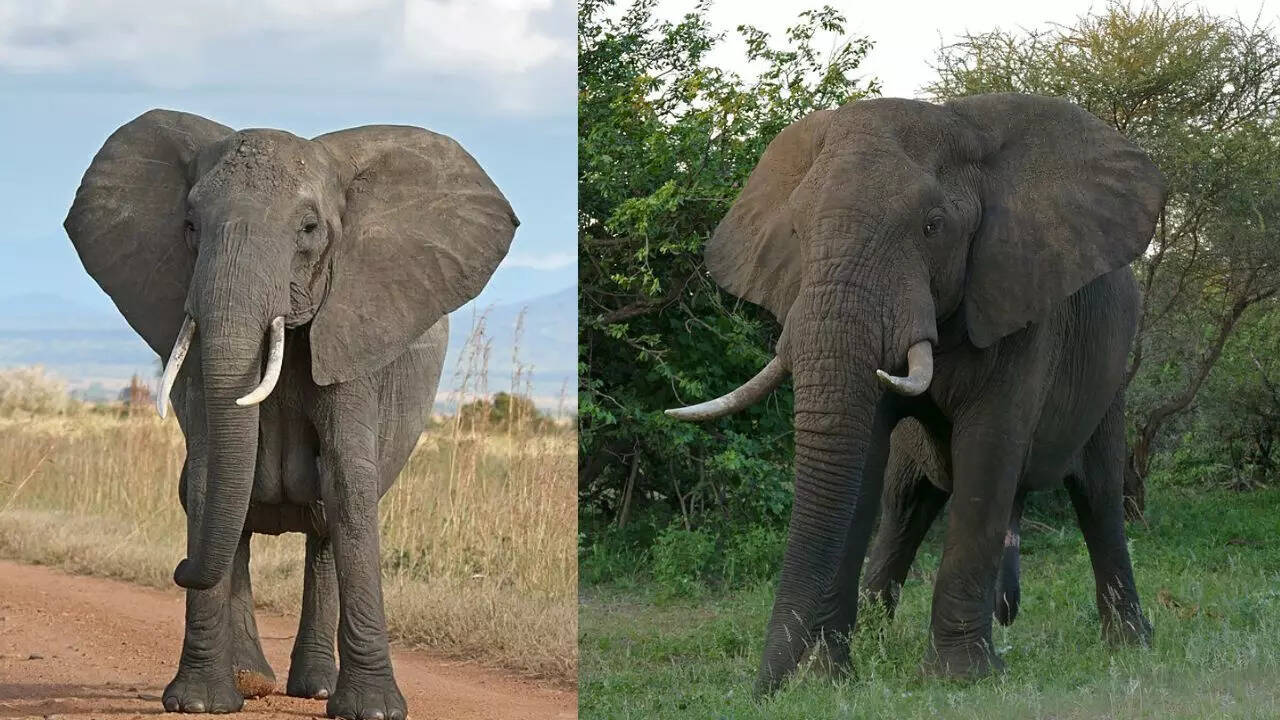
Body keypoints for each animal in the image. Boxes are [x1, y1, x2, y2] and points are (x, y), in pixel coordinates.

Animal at [64, 110, 518, 718]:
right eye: (190, 225)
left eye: (308, 228)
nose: (178, 570)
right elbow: (206, 478)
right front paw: (199, 703)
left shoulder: (355, 328)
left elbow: (348, 481)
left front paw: (373, 711)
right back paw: (251, 681)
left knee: (326, 520)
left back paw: (315, 688)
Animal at [665, 93, 1164, 693]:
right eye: (796, 234)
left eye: (933, 226)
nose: (762, 693)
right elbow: (864, 468)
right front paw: (830, 679)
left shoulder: (1018, 300)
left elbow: (988, 455)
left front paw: (961, 679)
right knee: (904, 507)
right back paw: (877, 638)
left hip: (1108, 377)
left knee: (1099, 496)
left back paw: (1130, 645)